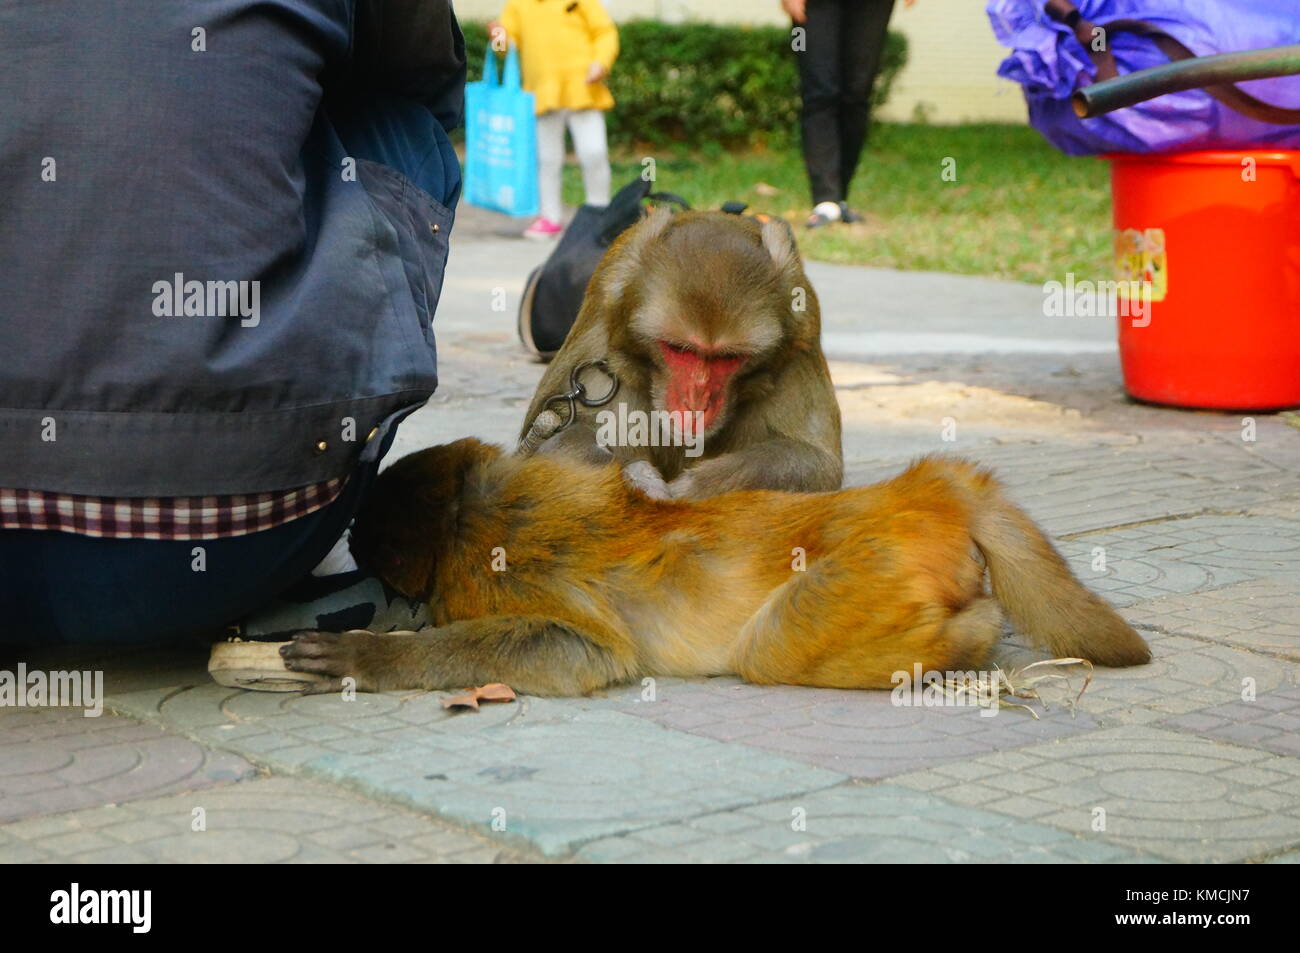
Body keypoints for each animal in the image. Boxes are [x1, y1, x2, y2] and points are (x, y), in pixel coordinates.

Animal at [280, 438, 1151, 696]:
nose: (359, 560)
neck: (469, 513)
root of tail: (929, 488)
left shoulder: (497, 574)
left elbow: (582, 651)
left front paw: (372, 656)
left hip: (869, 571)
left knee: (772, 648)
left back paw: (974, 637)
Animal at [518, 208, 843, 500]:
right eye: (679, 349)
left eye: (728, 357)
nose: (696, 403)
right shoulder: (599, 340)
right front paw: (635, 478)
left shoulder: (799, 342)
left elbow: (817, 462)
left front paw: (695, 488)